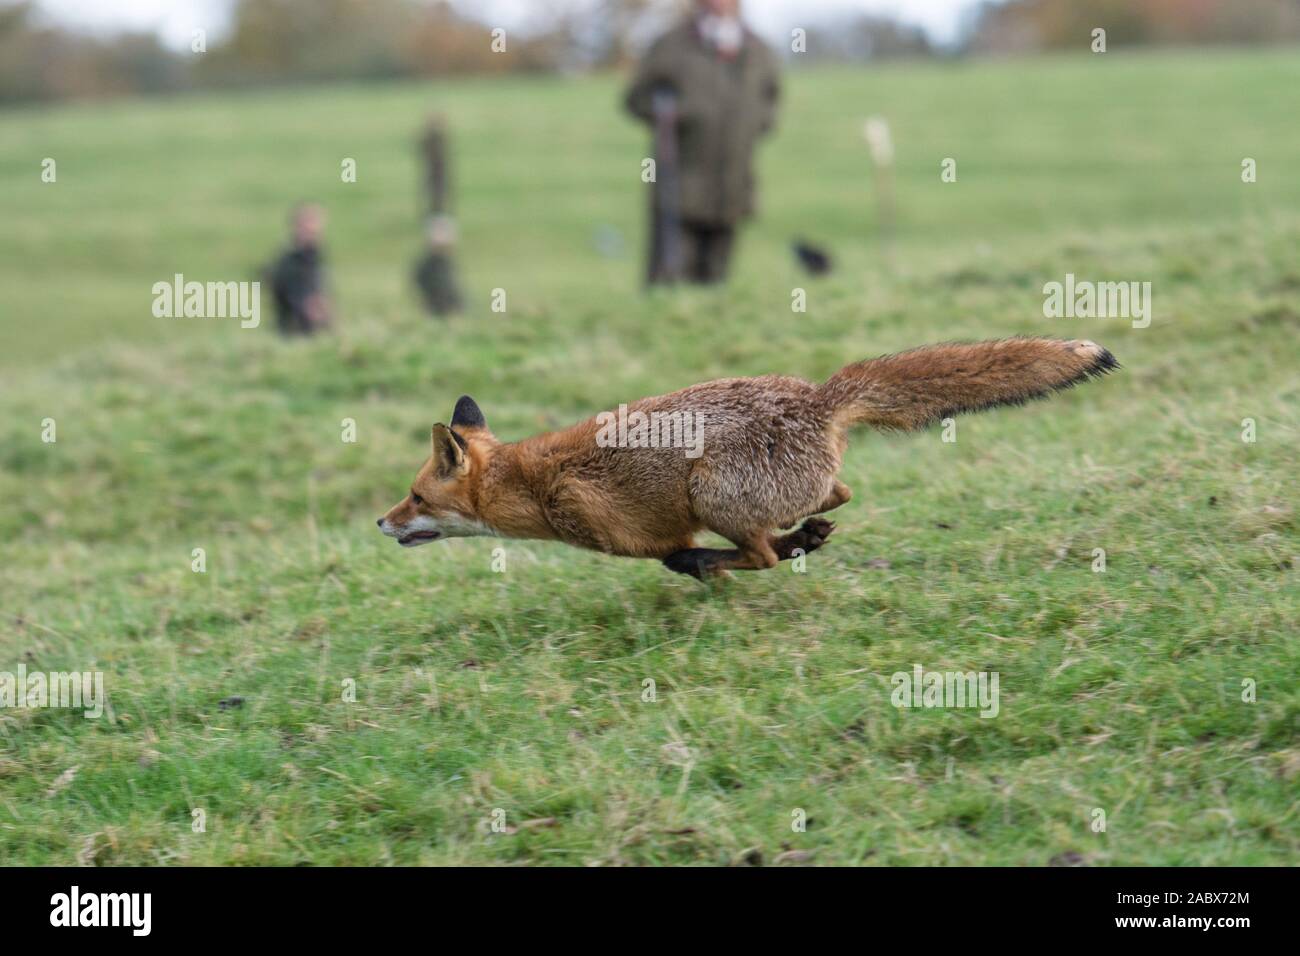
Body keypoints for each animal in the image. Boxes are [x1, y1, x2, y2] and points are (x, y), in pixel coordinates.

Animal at [377, 337, 1117, 578]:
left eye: (415, 497)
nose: (380, 523)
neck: (536, 486)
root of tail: (819, 397)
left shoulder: (645, 532)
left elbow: (679, 557)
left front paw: (707, 566)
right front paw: (803, 543)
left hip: (712, 495)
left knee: (758, 552)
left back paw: (762, 553)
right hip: (780, 488)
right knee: (836, 497)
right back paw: (808, 534)